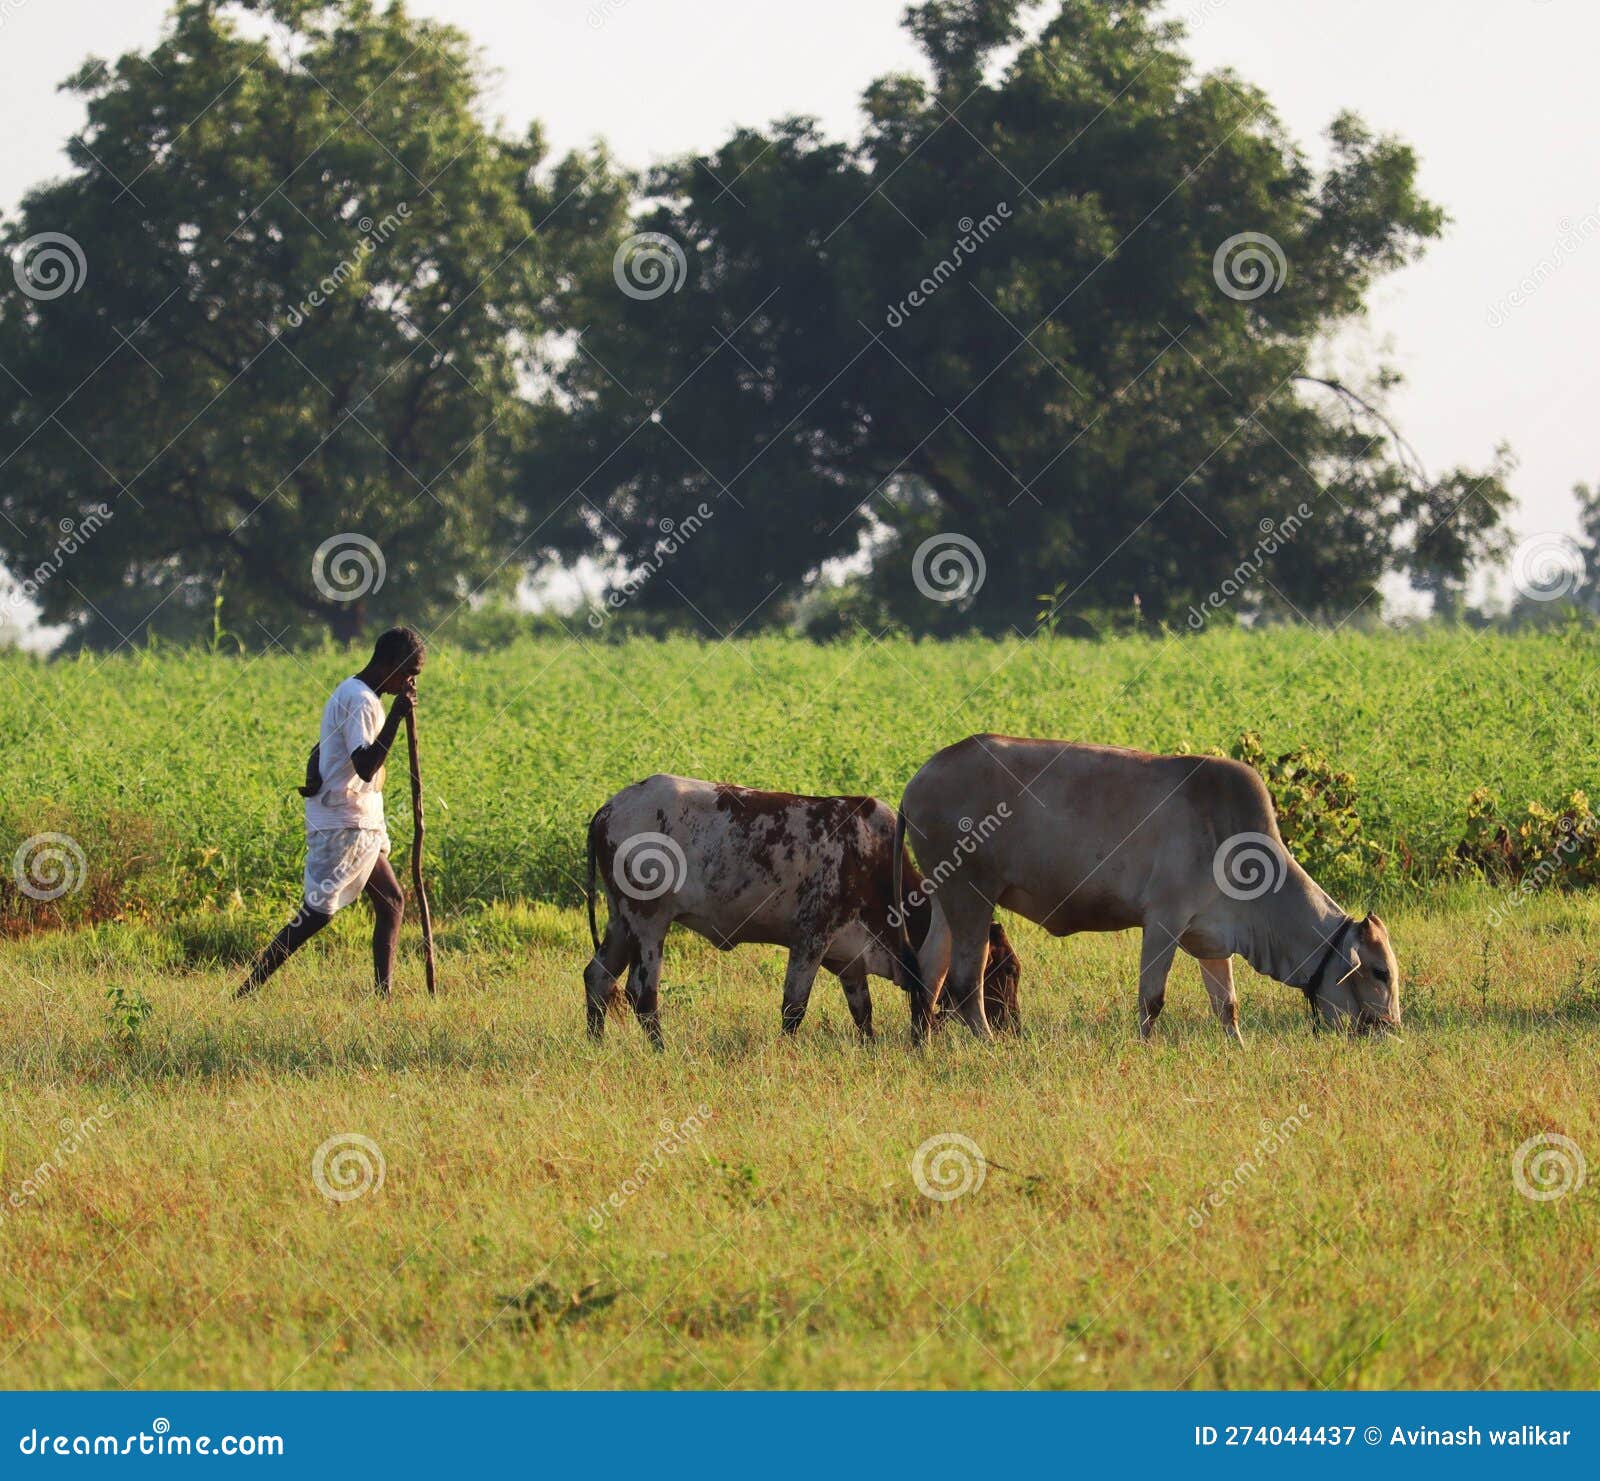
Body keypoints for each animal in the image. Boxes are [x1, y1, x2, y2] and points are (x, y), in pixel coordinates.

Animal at [584, 774, 1021, 1046]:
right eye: (1006, 972)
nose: (1015, 1029)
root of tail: (608, 809)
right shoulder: (811, 937)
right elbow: (794, 1009)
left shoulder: (849, 960)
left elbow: (864, 1015)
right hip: (648, 923)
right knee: (643, 994)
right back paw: (662, 1049)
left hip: (620, 922)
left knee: (598, 979)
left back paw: (596, 1045)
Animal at [896, 735, 1400, 1045]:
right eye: (1380, 973)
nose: (1391, 1028)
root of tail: (920, 777)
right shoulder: (1163, 922)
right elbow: (1151, 999)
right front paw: (1145, 1048)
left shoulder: (1212, 939)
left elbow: (1227, 1005)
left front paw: (1237, 1048)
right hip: (971, 895)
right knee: (965, 982)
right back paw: (990, 1046)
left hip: (947, 898)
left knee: (929, 972)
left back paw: (923, 1046)